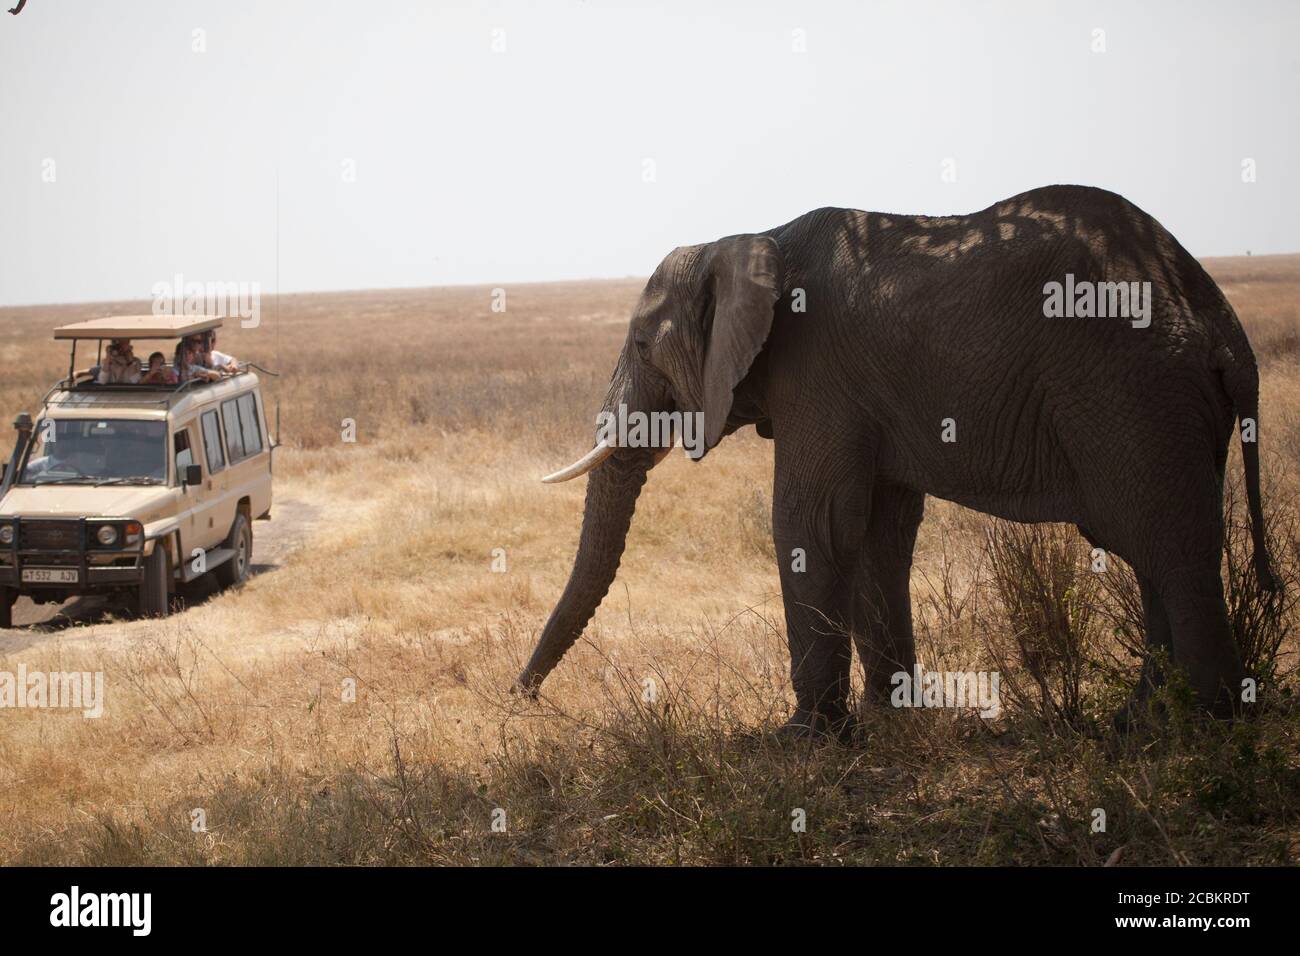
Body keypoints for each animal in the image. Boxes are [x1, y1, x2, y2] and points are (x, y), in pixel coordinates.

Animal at [517, 184, 1277, 737]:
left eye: (643, 346)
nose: (522, 698)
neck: (747, 240)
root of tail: (1224, 328)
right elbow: (879, 532)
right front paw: (890, 717)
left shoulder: (817, 373)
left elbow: (812, 523)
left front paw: (803, 739)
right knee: (1153, 551)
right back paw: (1139, 721)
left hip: (1136, 393)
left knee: (1168, 546)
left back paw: (1199, 731)